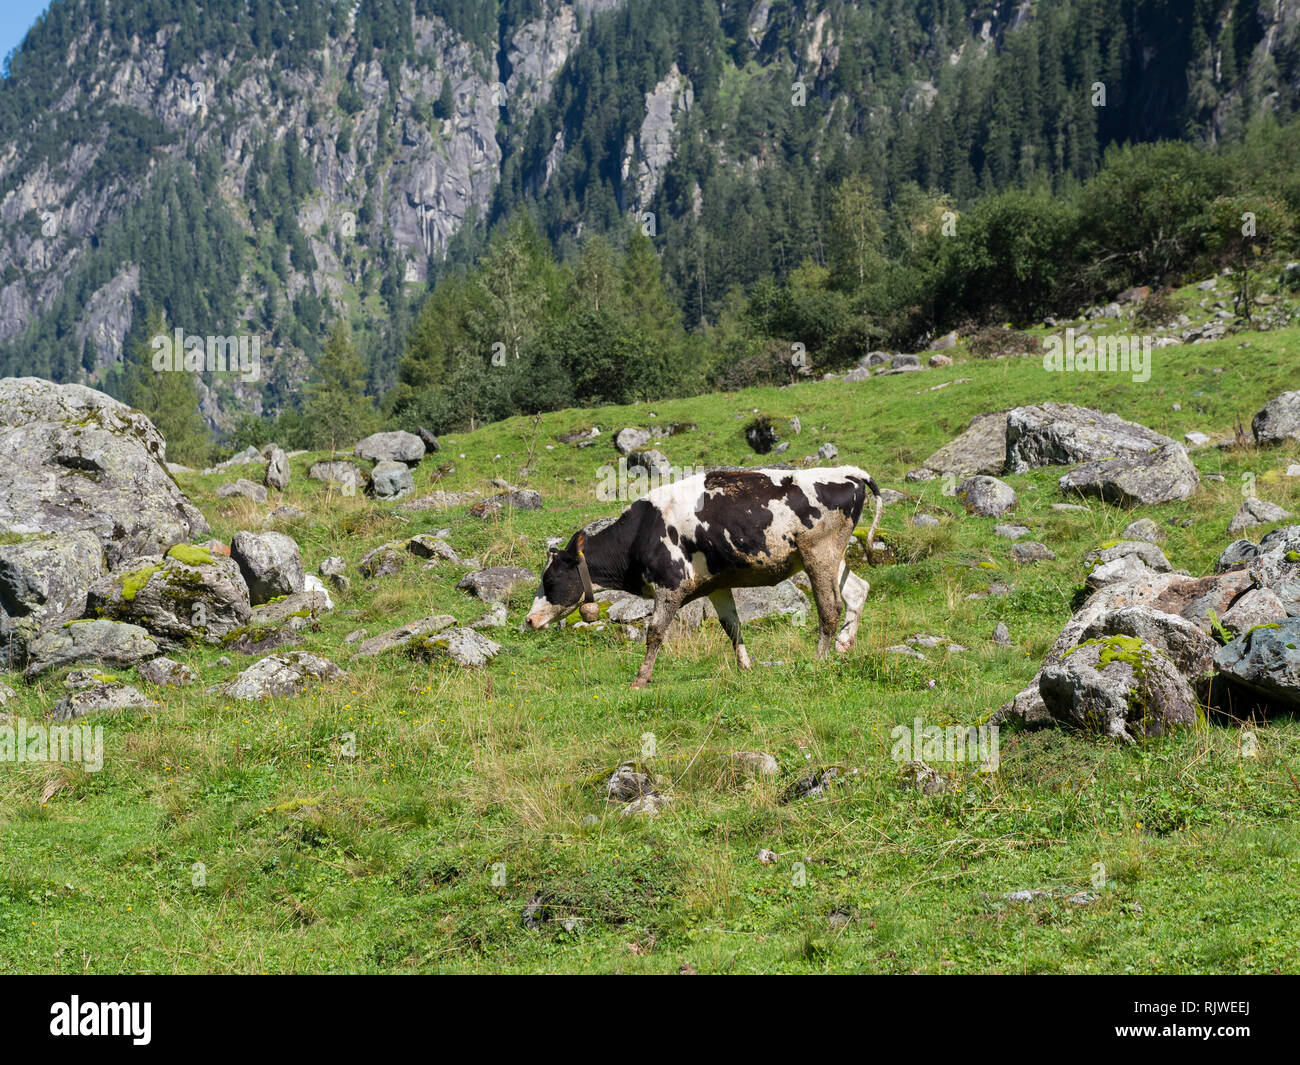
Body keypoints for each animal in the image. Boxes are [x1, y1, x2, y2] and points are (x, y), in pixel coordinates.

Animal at [525, 466, 883, 688]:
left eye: (551, 579)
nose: (528, 620)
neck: (641, 533)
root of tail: (847, 472)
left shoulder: (670, 584)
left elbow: (655, 633)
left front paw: (641, 678)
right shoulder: (717, 585)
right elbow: (732, 627)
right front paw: (745, 667)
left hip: (819, 554)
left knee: (829, 608)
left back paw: (819, 659)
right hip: (830, 557)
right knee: (857, 591)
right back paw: (844, 646)